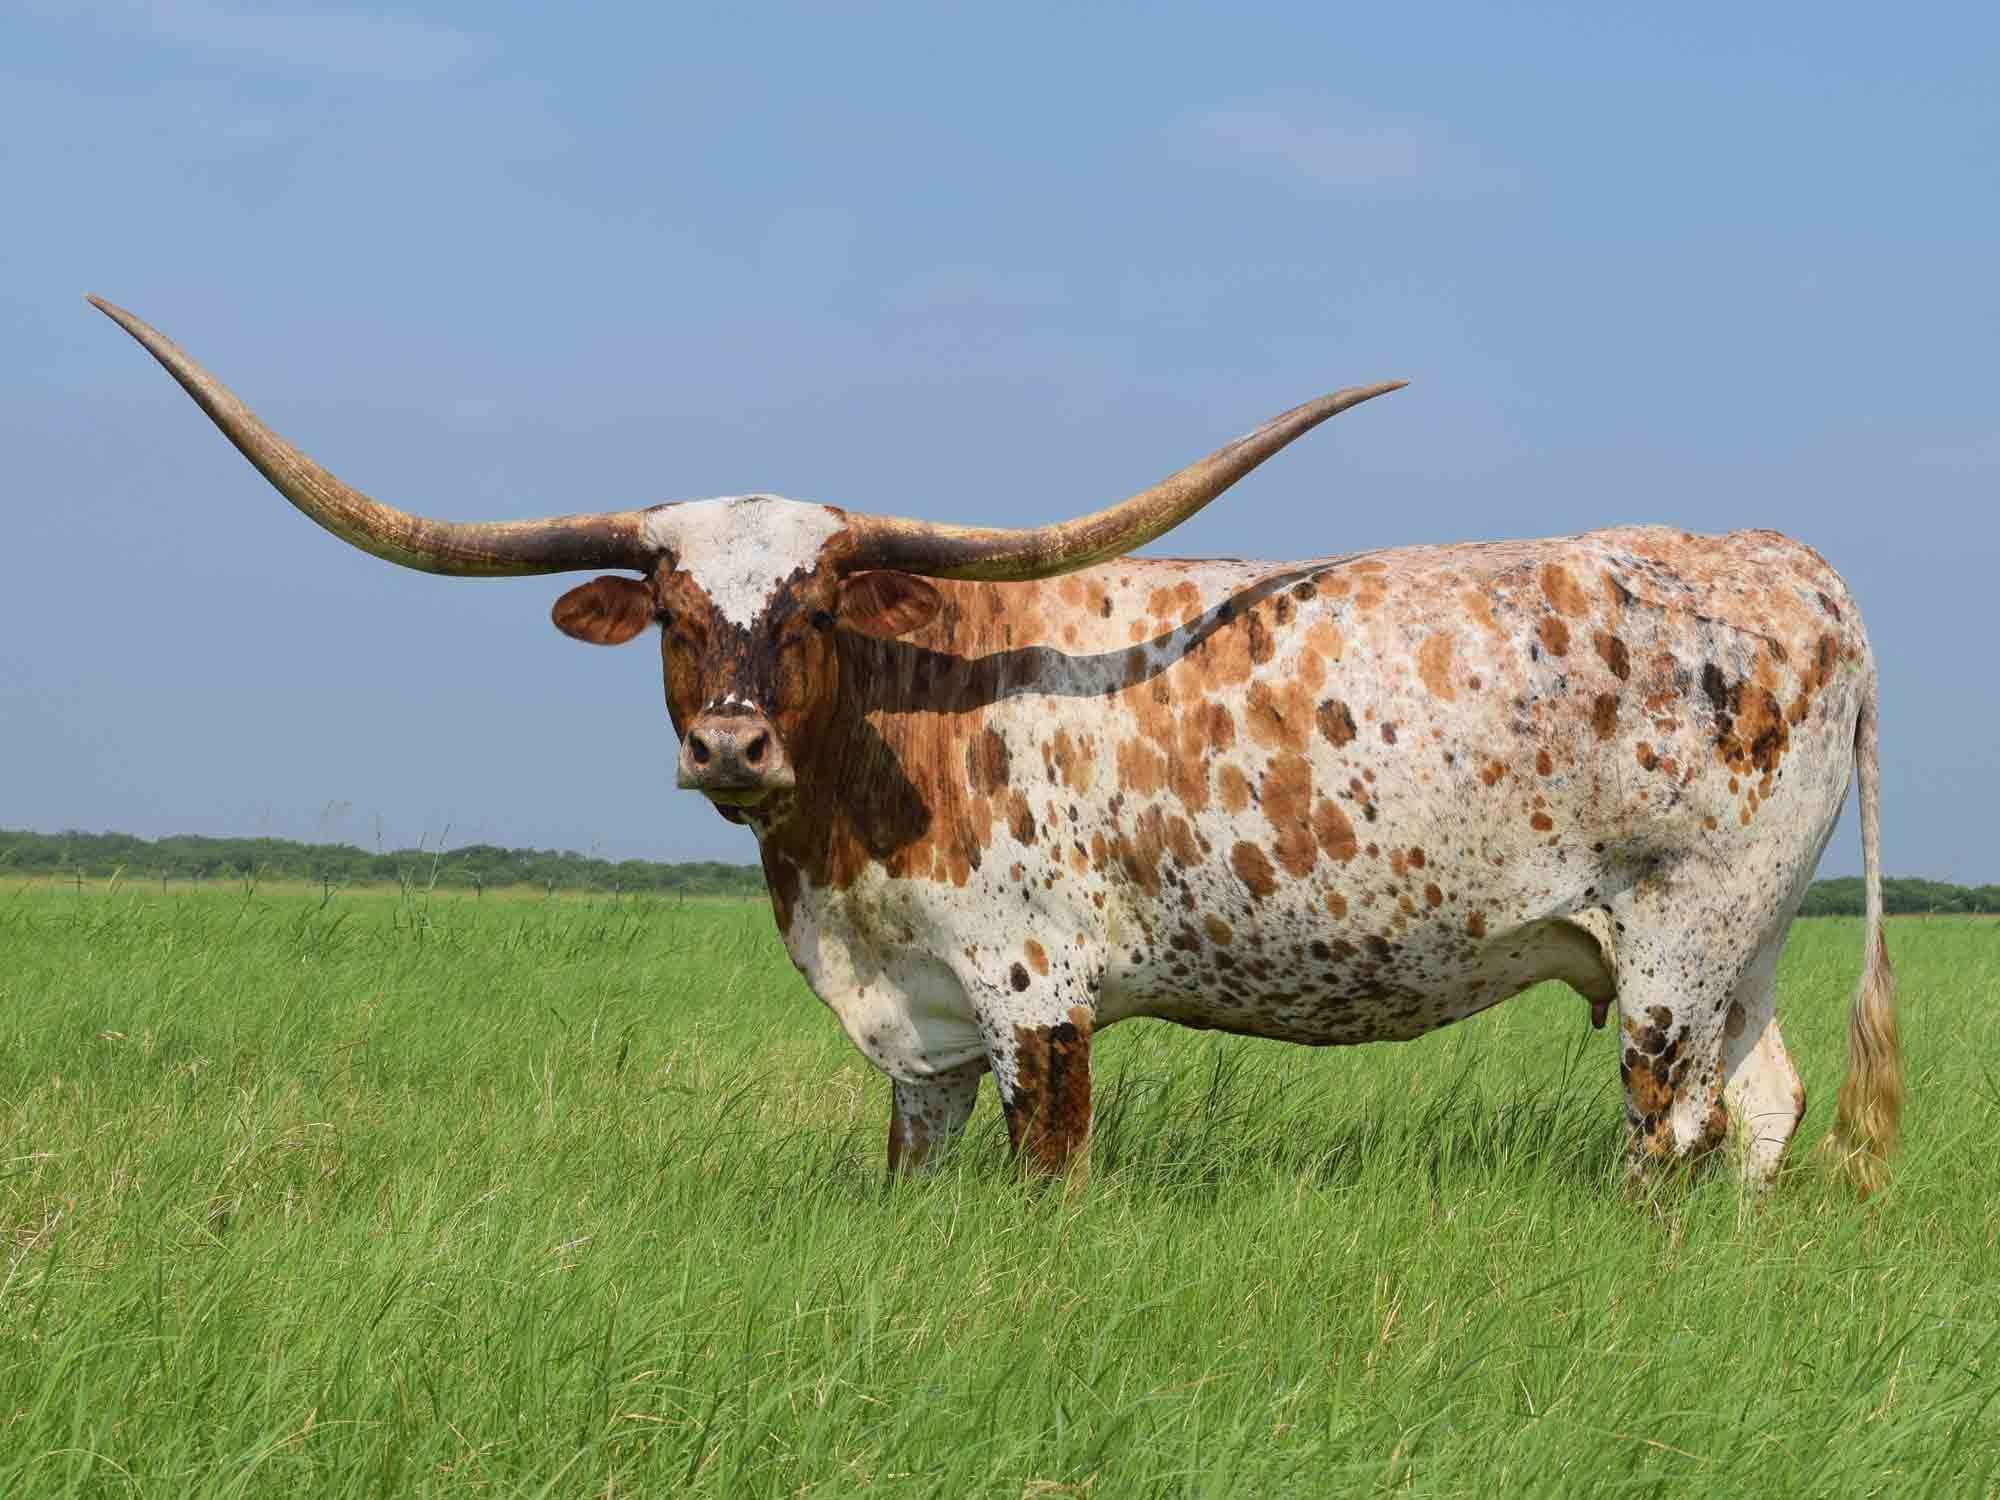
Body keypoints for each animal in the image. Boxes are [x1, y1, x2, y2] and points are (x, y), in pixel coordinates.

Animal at [90, 295, 1901, 1194]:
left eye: (817, 600)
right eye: (672, 608)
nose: (732, 741)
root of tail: (1787, 561)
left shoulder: (1042, 996)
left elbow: (1047, 1178)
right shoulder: (924, 1032)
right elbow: (913, 1176)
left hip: (1675, 949)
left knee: (1668, 1130)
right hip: (1732, 955)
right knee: (1764, 1109)